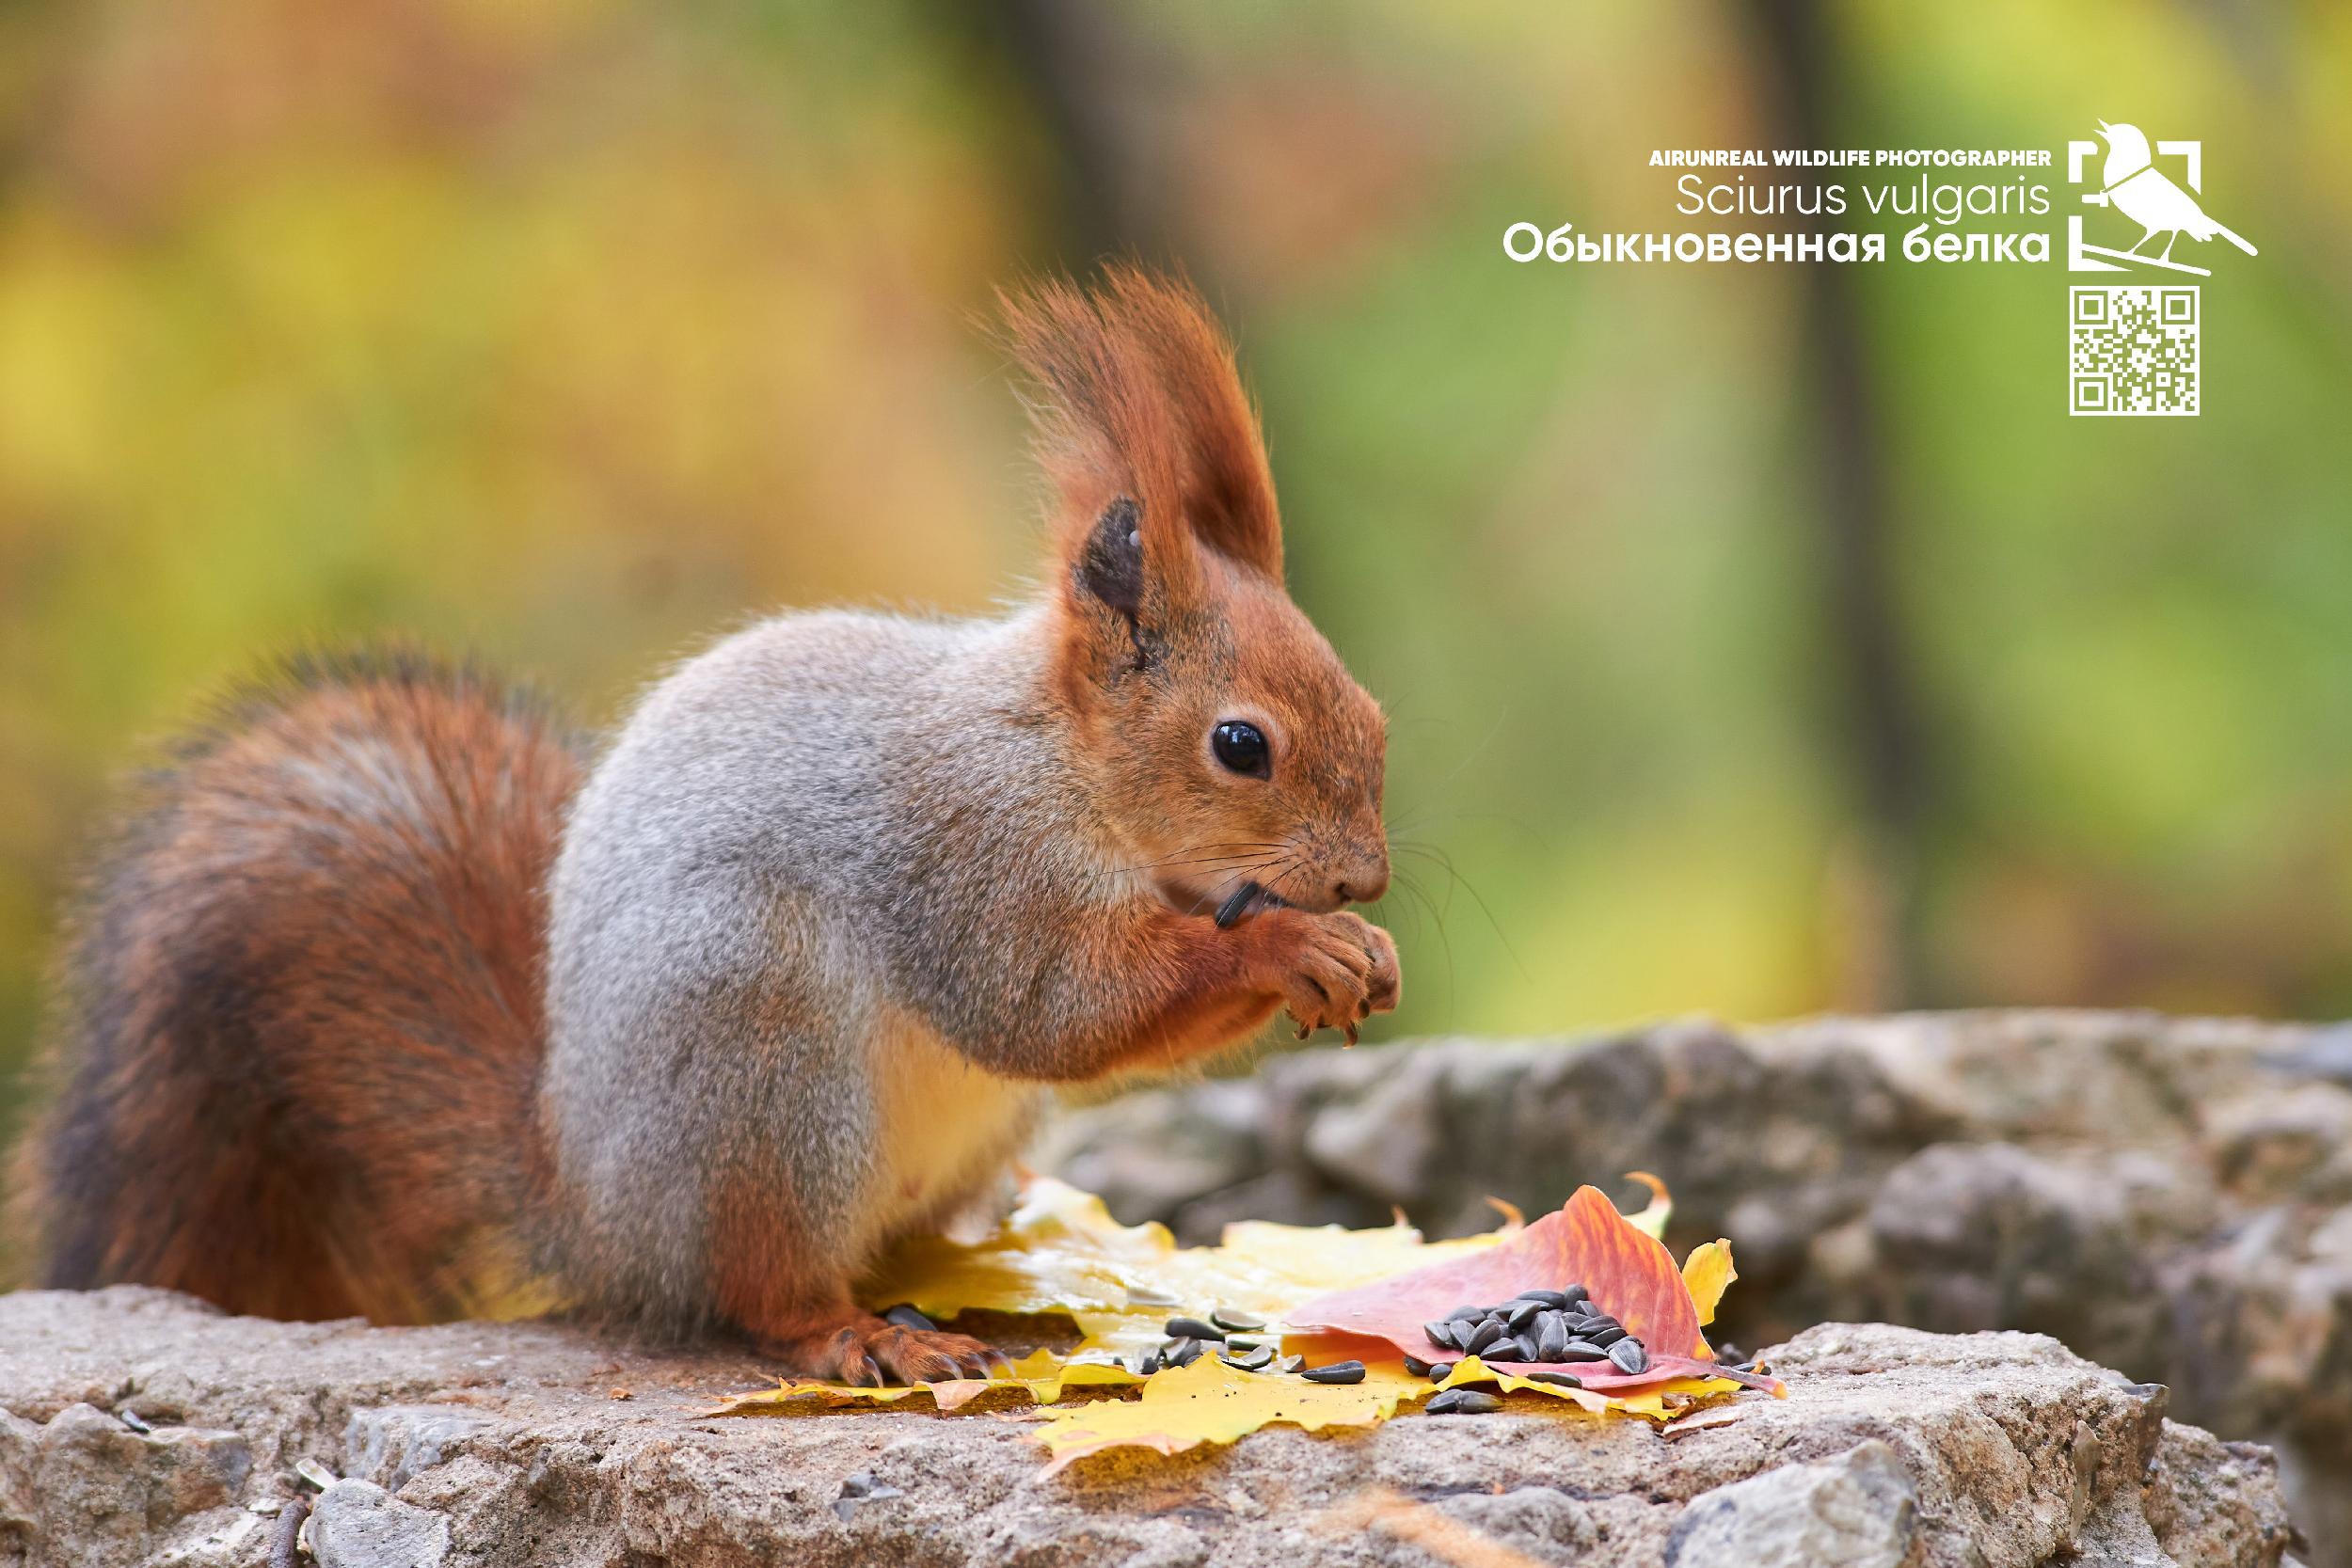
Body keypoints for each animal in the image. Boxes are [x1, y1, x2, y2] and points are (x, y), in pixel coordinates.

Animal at [13, 272, 1392, 1382]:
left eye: (1373, 711)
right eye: (1241, 745)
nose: (1367, 881)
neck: (1062, 761)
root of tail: (595, 1210)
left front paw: (1356, 955)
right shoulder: (963, 848)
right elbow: (1048, 1009)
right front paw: (1288, 947)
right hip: (760, 1063)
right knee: (757, 1288)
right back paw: (862, 1333)